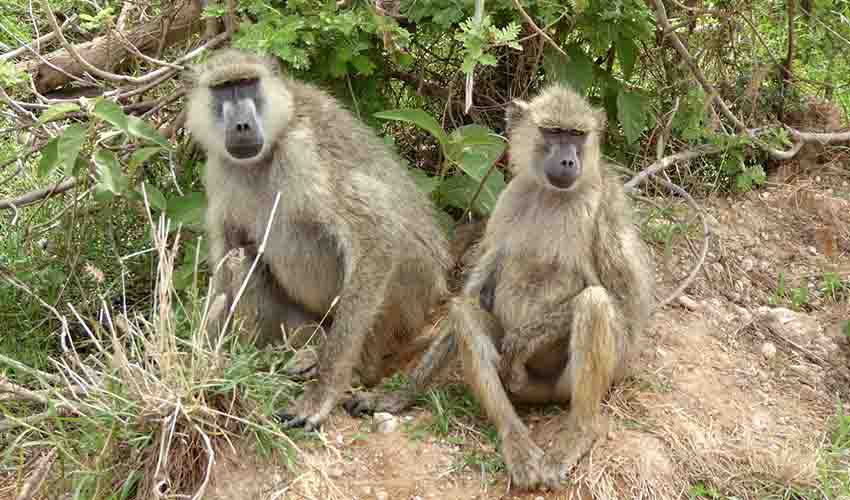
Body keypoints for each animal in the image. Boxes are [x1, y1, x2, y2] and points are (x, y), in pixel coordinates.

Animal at [184, 48, 452, 431]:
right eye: (223, 89)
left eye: (248, 83)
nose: (242, 126)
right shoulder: (219, 170)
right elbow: (225, 263)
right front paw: (204, 362)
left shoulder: (303, 153)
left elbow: (377, 234)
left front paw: (324, 393)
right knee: (240, 258)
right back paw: (297, 350)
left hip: (407, 302)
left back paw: (346, 365)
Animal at [344, 84, 655, 490]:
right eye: (553, 131)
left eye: (577, 134)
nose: (568, 161)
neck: (550, 194)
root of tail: (539, 393)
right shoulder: (508, 202)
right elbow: (473, 293)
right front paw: (399, 395)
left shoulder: (605, 207)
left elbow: (623, 305)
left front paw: (525, 339)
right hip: (522, 387)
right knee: (465, 313)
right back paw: (516, 442)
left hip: (574, 383)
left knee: (594, 303)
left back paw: (576, 435)